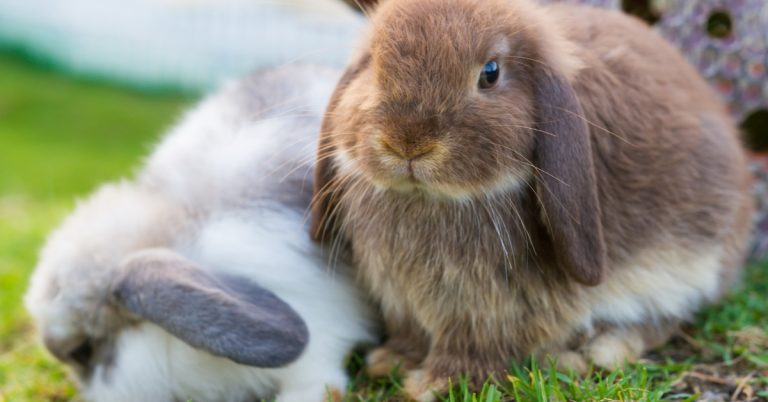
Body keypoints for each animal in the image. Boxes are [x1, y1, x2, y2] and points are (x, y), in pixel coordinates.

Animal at [310, 0, 754, 400]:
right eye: (373, 64)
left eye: (490, 73)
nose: (407, 143)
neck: (433, 198)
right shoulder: (403, 301)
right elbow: (412, 333)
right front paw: (391, 361)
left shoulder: (492, 310)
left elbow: (475, 345)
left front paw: (435, 384)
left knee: (664, 321)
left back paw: (596, 351)